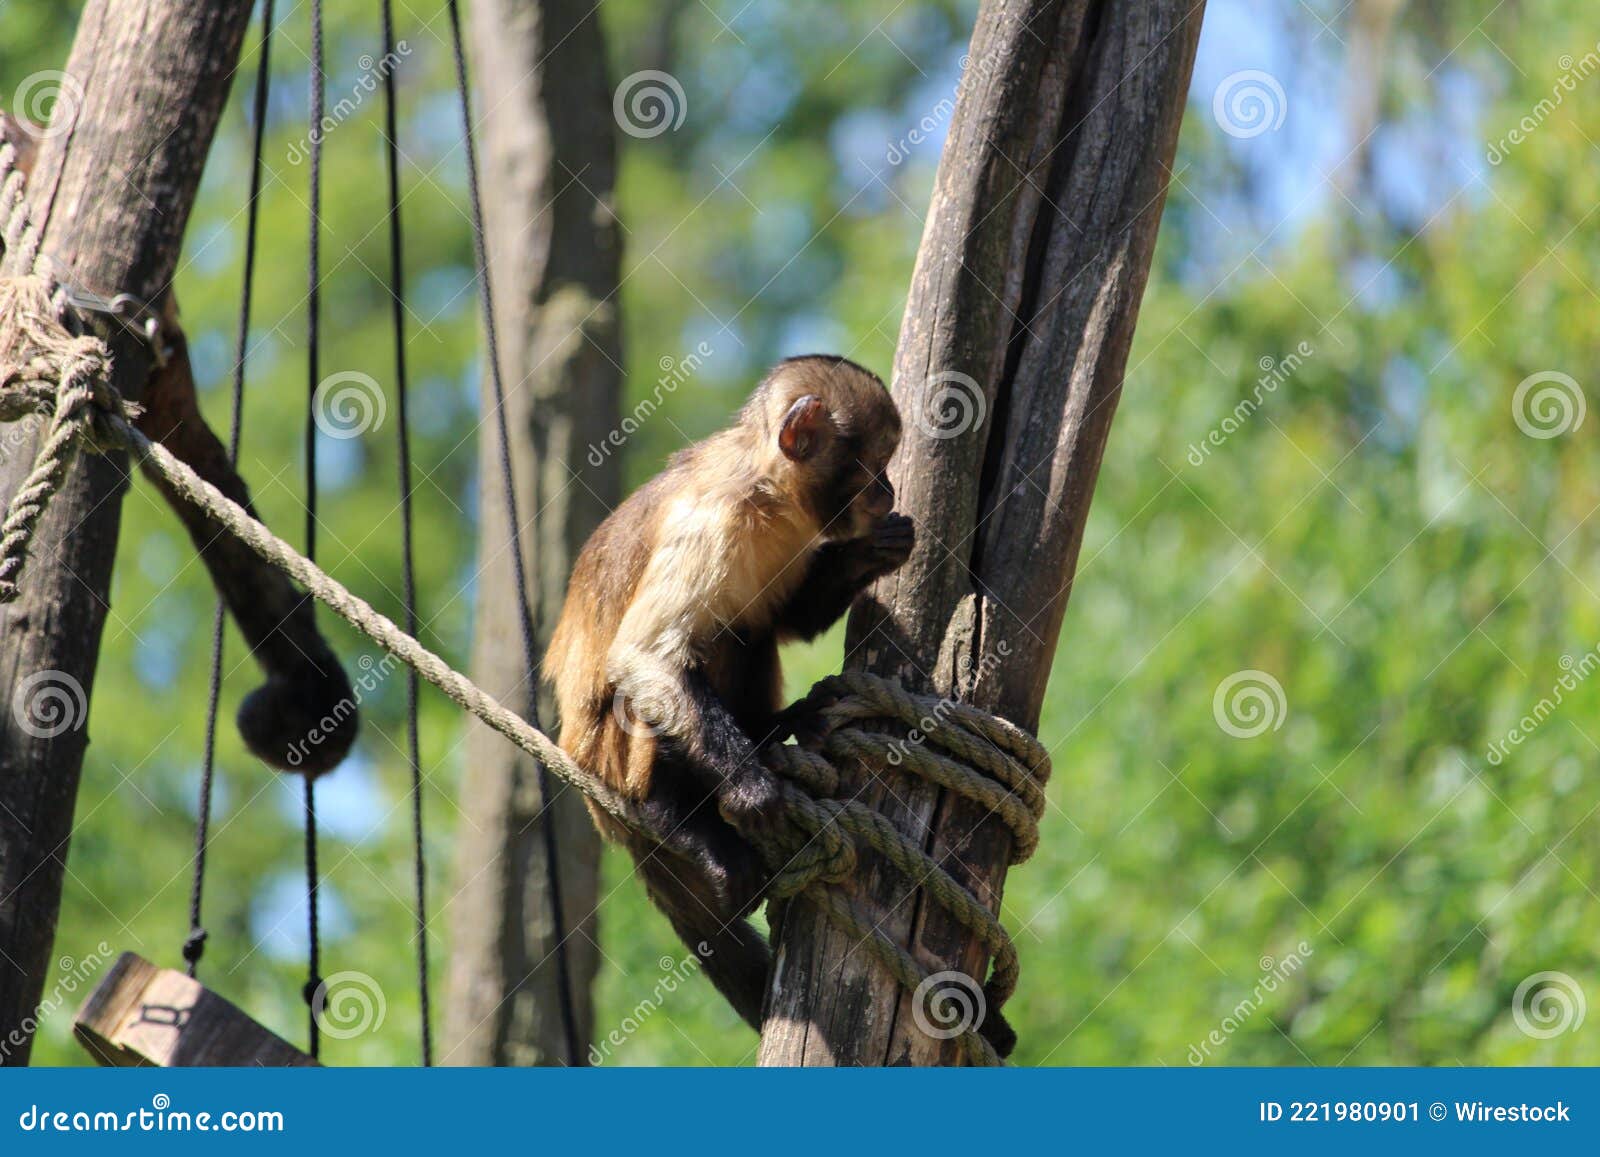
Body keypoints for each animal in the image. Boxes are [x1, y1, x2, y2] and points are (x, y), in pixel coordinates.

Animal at [544, 354, 913, 1029]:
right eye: (875, 461)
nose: (889, 490)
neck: (765, 491)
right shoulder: (713, 519)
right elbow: (645, 658)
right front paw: (749, 790)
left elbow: (789, 622)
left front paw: (867, 554)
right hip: (611, 763)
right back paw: (678, 816)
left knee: (748, 627)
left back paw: (775, 730)